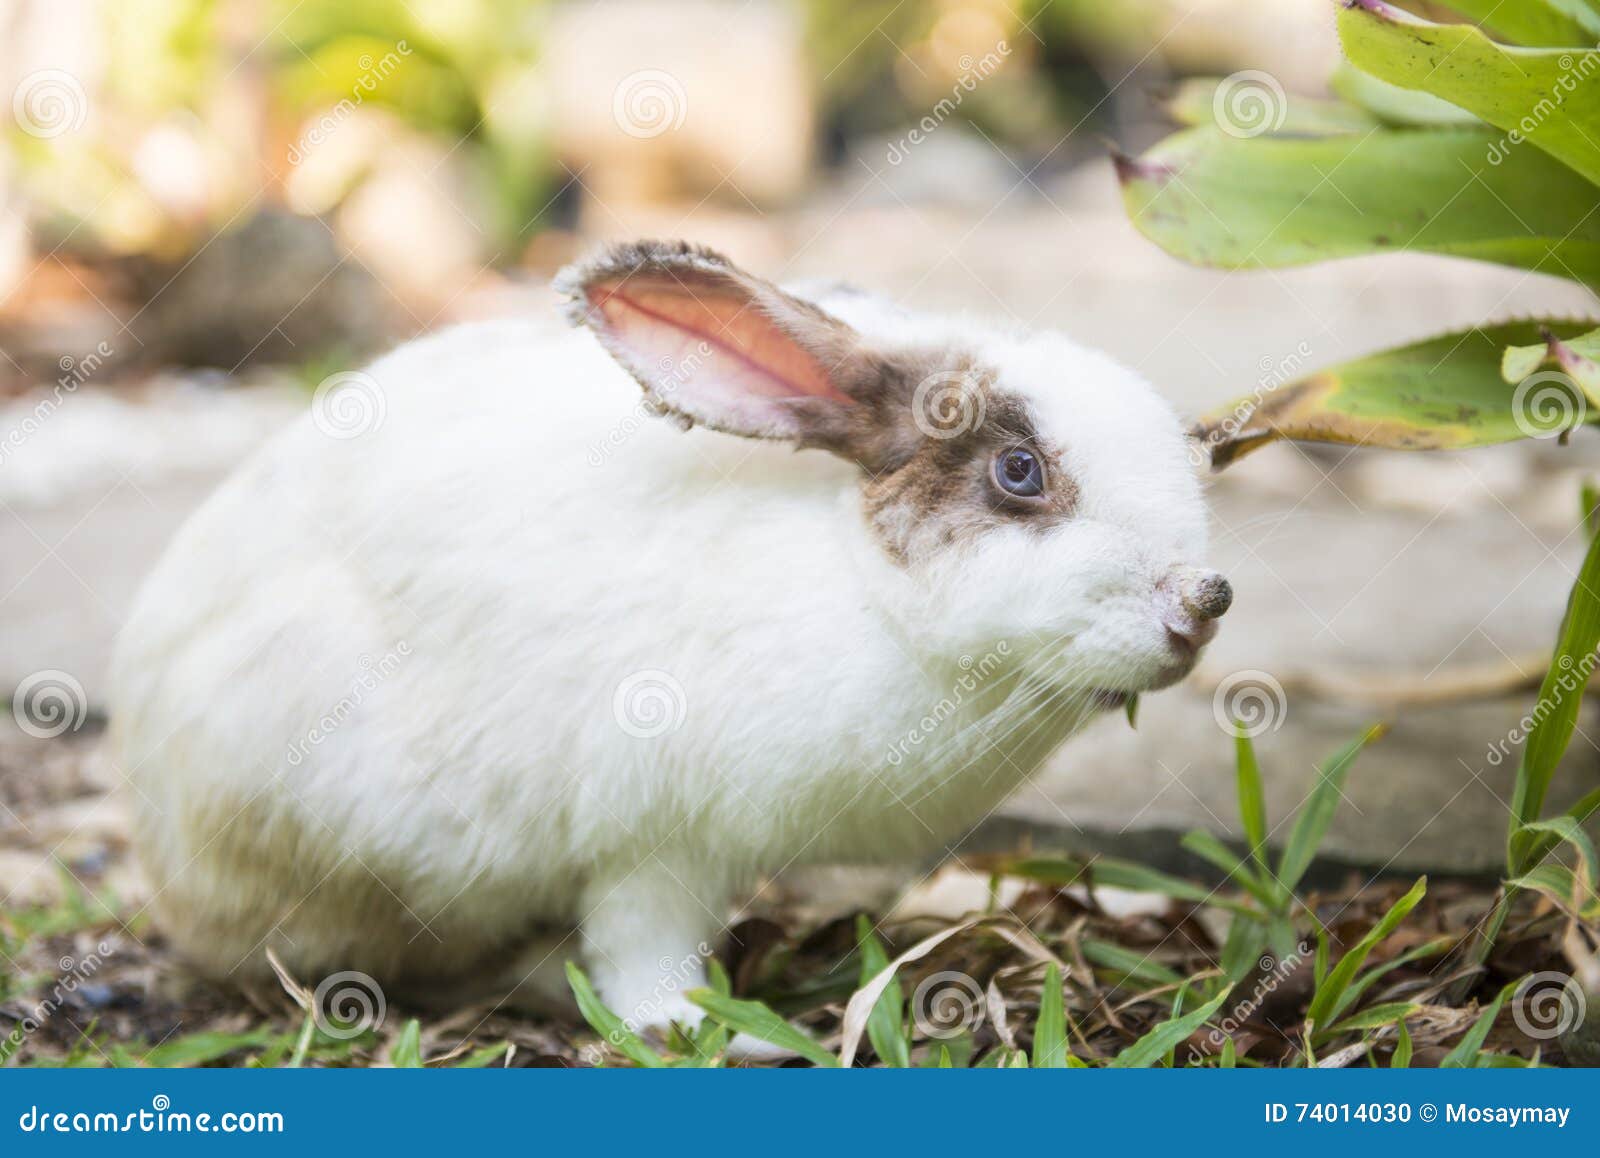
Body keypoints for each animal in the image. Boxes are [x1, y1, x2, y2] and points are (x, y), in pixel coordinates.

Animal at [110, 239, 1229, 1050]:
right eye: (1017, 471)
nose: (1205, 599)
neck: (863, 590)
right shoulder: (652, 846)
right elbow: (643, 954)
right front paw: (716, 1034)